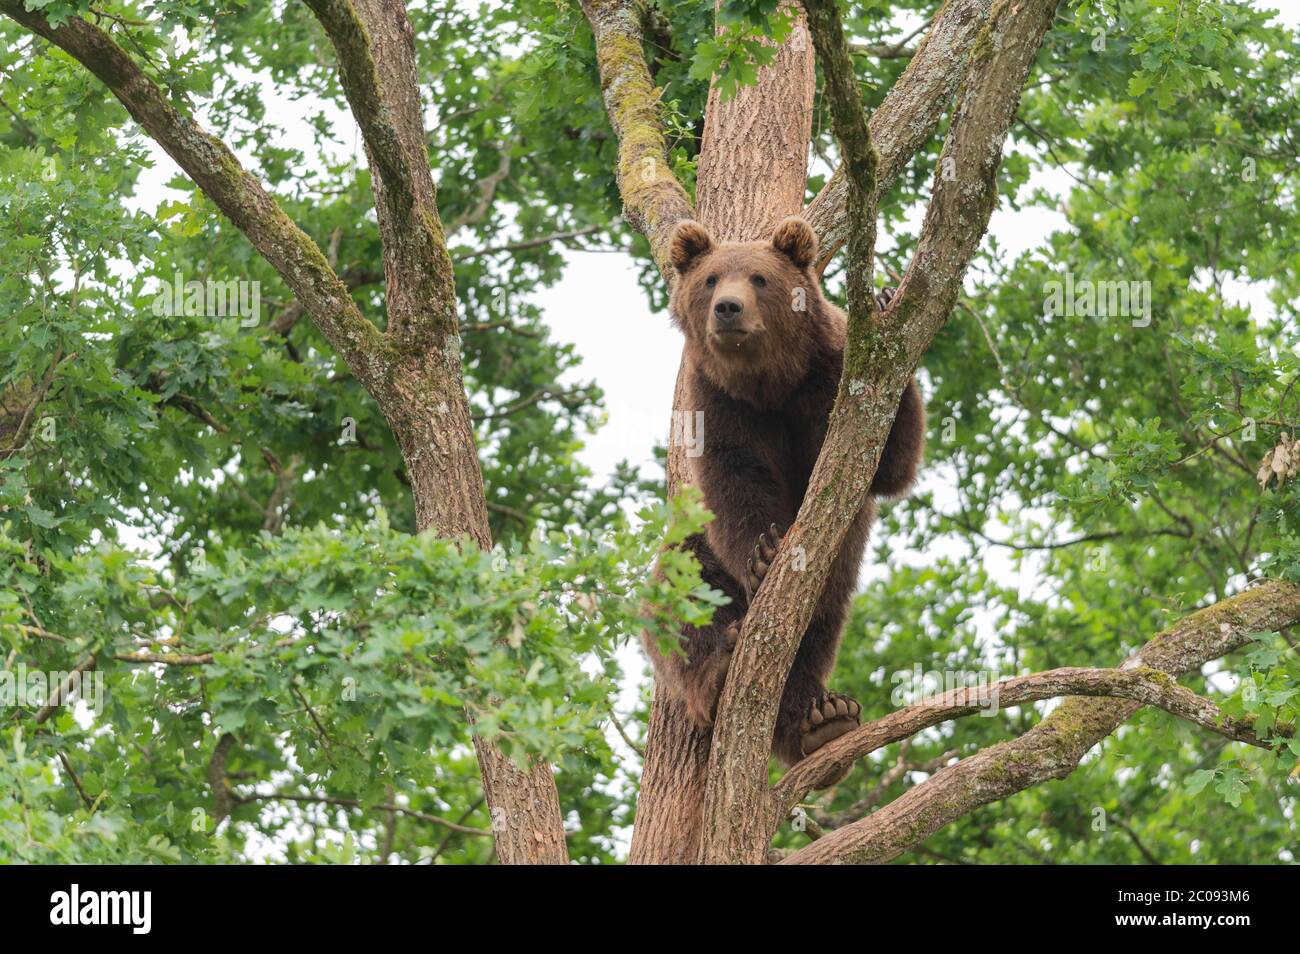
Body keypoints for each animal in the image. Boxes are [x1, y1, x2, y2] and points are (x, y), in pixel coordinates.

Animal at [645, 214, 925, 788]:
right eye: (710, 279)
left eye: (759, 278)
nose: (728, 308)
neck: (769, 383)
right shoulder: (717, 404)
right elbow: (734, 480)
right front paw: (765, 551)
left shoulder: (831, 375)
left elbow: (890, 465)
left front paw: (888, 298)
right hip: (695, 556)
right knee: (681, 604)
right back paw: (720, 671)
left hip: (835, 579)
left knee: (816, 635)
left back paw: (821, 720)